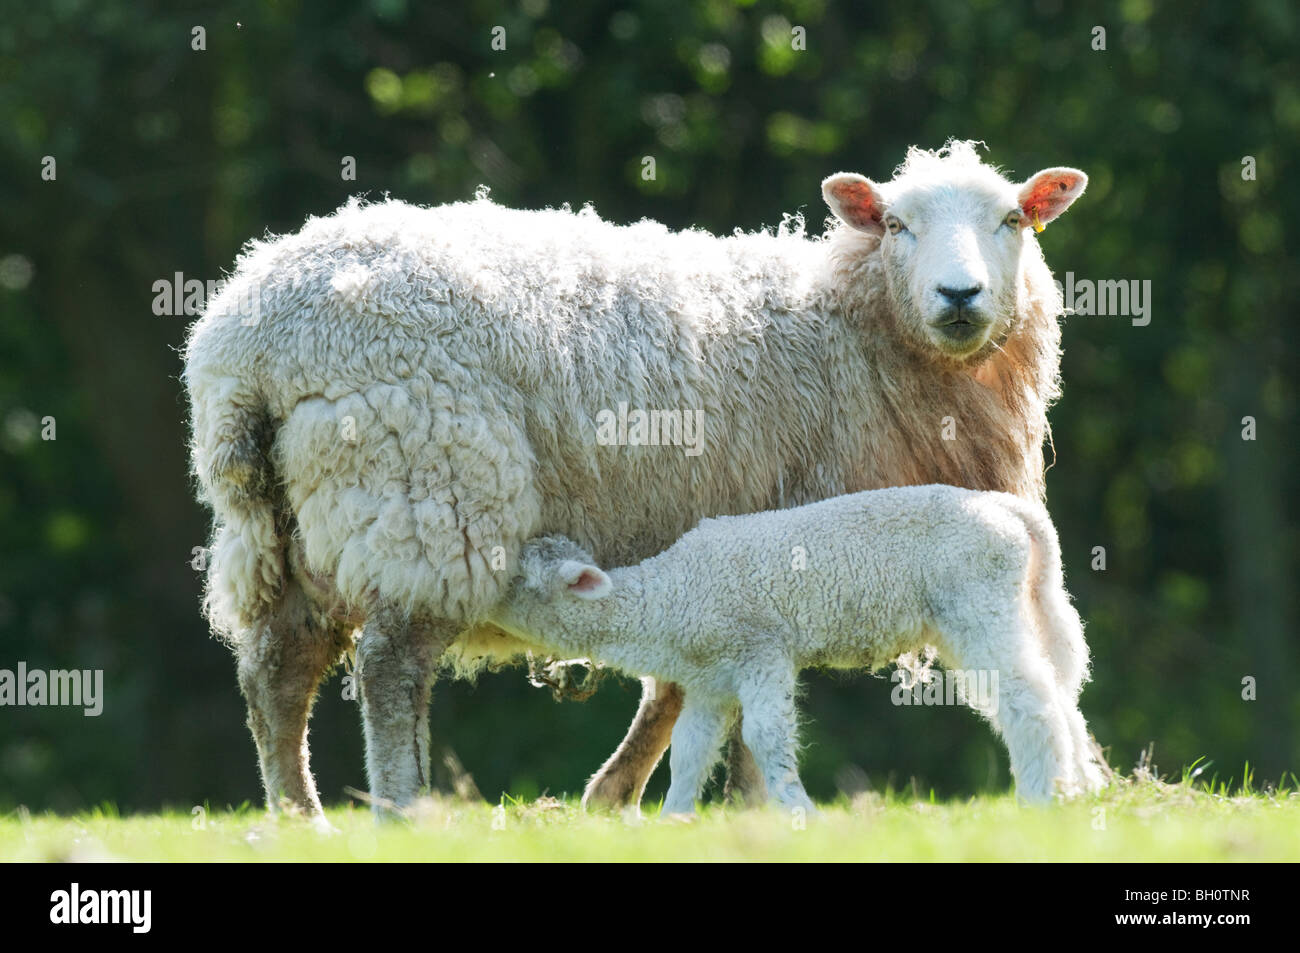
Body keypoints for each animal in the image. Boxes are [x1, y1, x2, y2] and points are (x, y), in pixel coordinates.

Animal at [487, 485, 1106, 813]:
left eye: (519, 577)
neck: (671, 599)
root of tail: (1011, 511)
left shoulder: (760, 649)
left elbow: (766, 737)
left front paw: (800, 811)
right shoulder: (710, 679)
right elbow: (690, 750)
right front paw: (675, 820)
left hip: (978, 606)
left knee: (1030, 703)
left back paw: (1040, 799)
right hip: (1000, 608)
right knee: (1058, 691)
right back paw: (1079, 789)